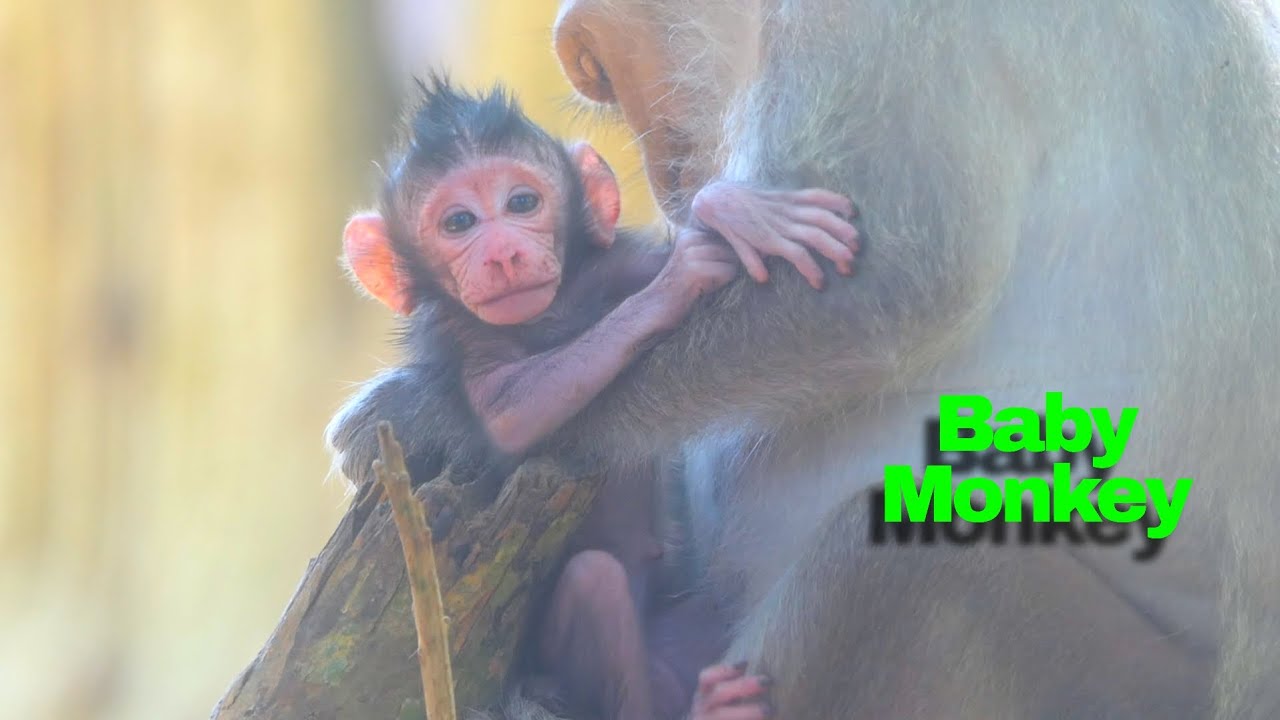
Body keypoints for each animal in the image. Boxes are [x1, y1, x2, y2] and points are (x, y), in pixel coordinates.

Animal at [326, 78, 859, 720]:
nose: (502, 253)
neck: (551, 316)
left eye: (522, 203)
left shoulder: (617, 266)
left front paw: (735, 211)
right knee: (594, 583)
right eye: (458, 222)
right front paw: (677, 283)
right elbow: (507, 413)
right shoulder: (459, 332)